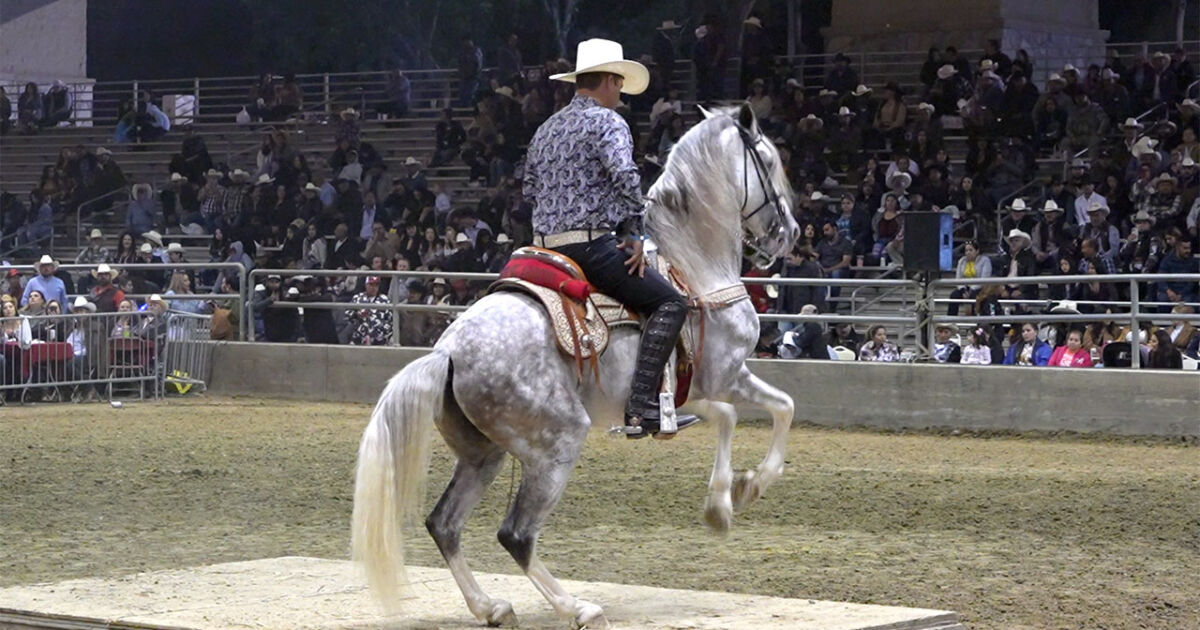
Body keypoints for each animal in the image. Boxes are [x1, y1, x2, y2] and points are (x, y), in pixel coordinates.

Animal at [352, 102, 800, 629]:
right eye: (768, 161)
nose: (790, 233)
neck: (694, 267)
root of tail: (449, 352)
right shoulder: (723, 376)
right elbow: (769, 411)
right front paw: (739, 494)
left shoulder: (690, 391)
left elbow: (757, 411)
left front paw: (731, 497)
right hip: (557, 444)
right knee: (515, 534)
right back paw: (578, 606)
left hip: (484, 455)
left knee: (444, 523)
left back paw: (491, 606)